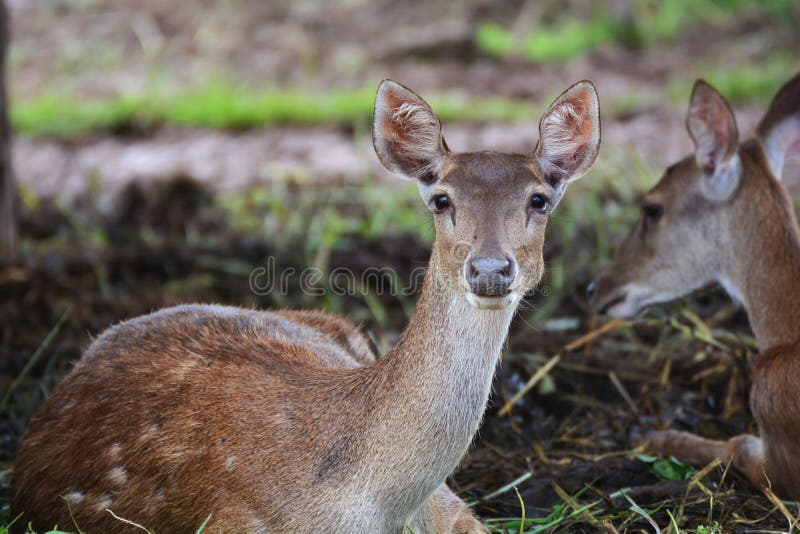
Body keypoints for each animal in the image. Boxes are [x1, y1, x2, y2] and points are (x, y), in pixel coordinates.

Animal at [589, 72, 800, 499]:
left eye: (652, 207)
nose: (596, 288)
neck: (782, 335)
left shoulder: (781, 465)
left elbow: (737, 443)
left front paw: (660, 438)